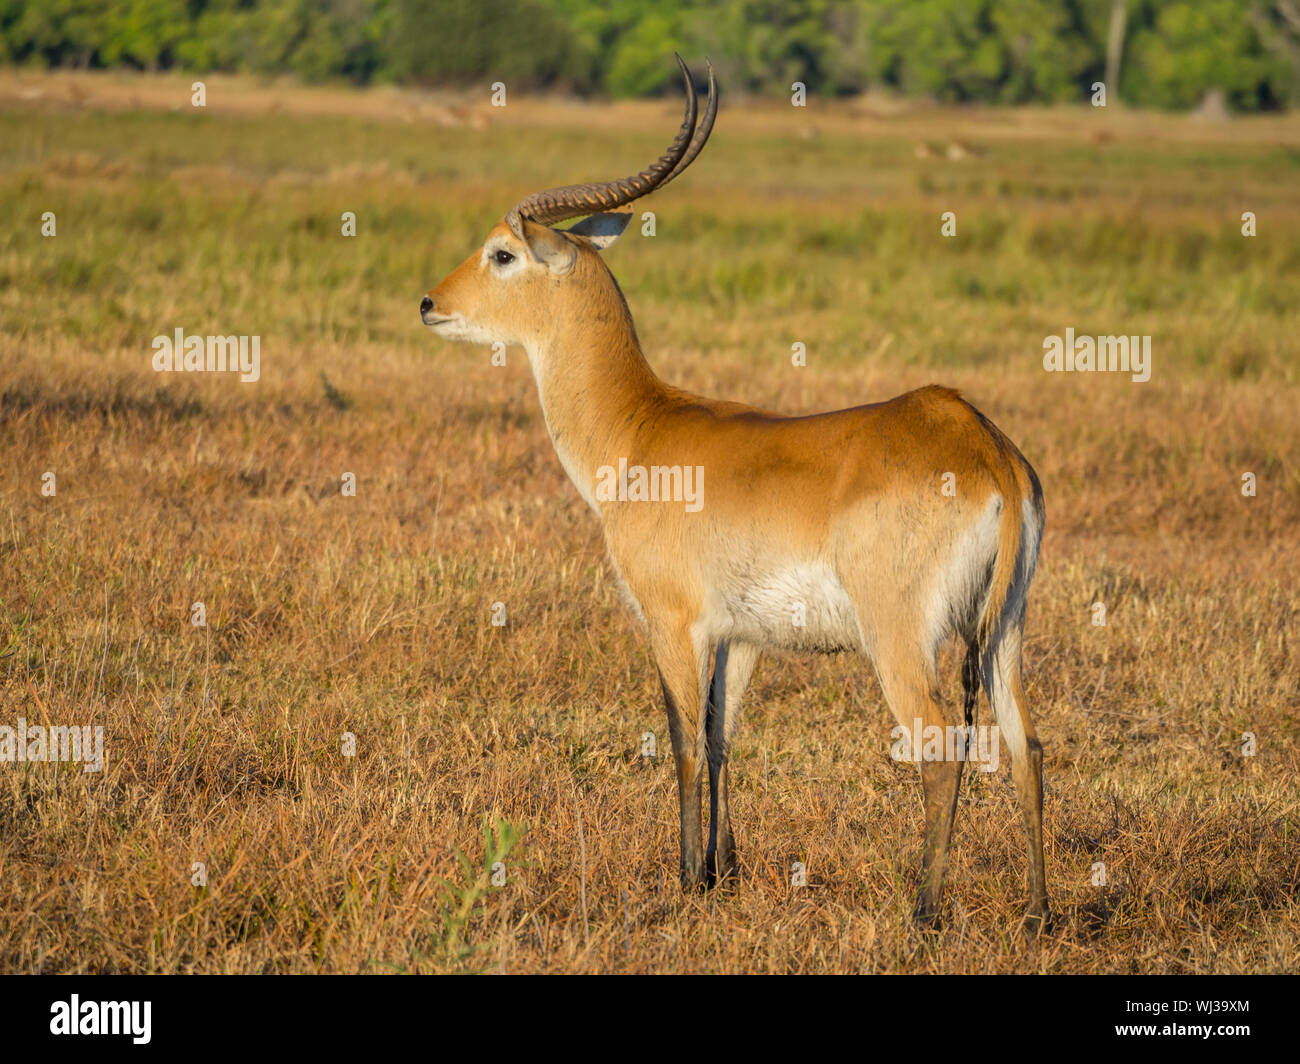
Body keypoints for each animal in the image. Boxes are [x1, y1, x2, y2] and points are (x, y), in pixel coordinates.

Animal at [420, 56, 1049, 932]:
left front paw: (685, 881)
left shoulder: (672, 619)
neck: (641, 430)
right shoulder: (742, 636)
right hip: (1004, 633)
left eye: (502, 253)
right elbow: (722, 737)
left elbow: (682, 738)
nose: (429, 303)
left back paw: (924, 911)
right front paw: (722, 872)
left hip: (901, 640)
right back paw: (1041, 914)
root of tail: (984, 447)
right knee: (1026, 748)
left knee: (940, 746)